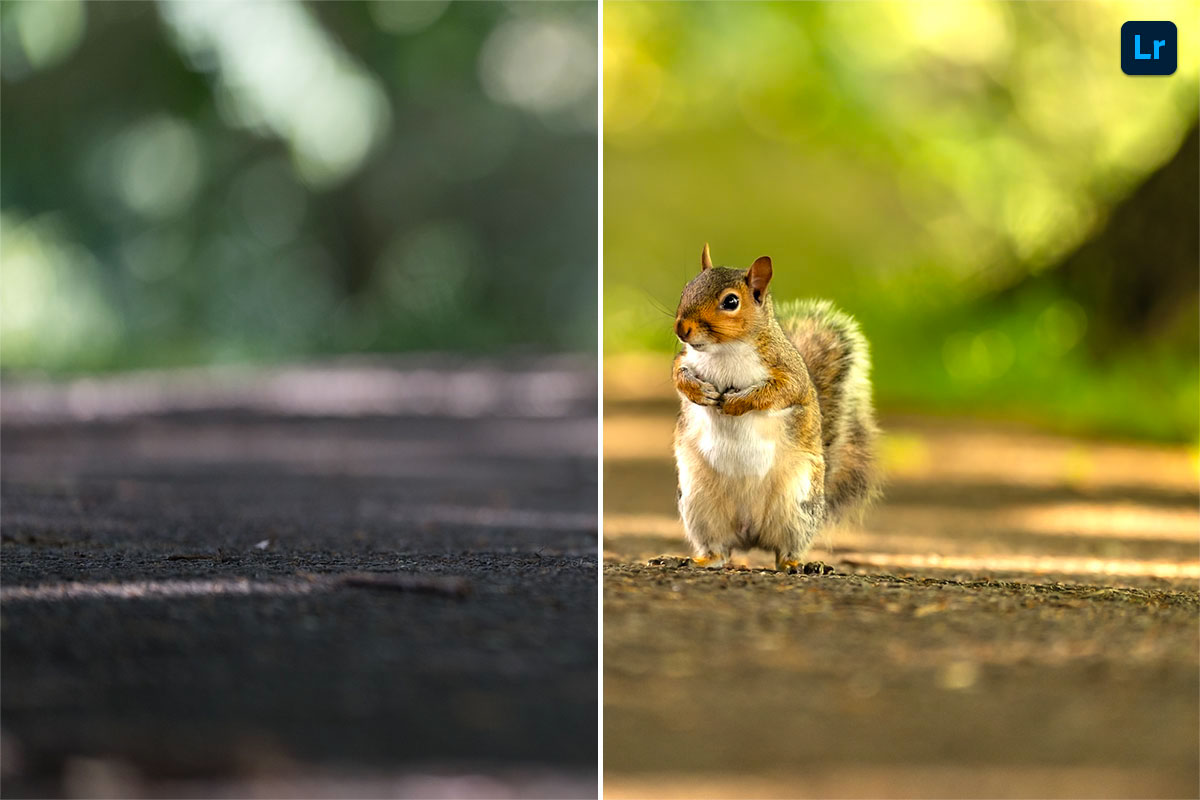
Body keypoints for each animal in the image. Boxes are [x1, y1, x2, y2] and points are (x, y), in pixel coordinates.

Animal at [671, 243, 880, 573]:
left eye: (731, 301)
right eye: (686, 288)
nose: (682, 328)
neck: (724, 350)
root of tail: (749, 534)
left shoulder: (789, 372)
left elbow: (781, 392)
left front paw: (736, 403)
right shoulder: (685, 358)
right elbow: (678, 376)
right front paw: (699, 391)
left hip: (797, 505)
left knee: (785, 551)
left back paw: (801, 565)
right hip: (698, 502)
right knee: (719, 550)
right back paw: (694, 560)